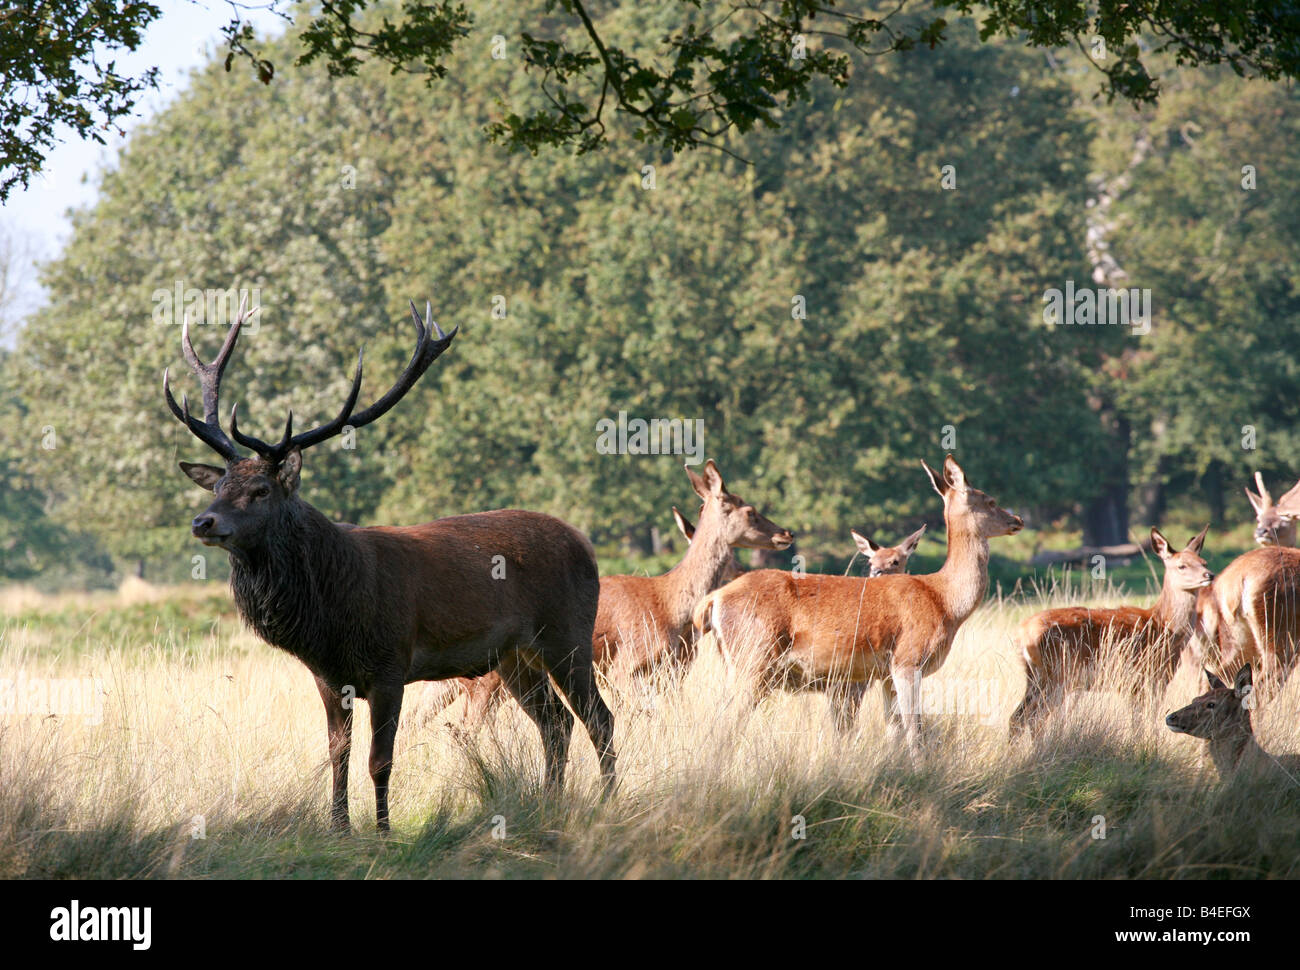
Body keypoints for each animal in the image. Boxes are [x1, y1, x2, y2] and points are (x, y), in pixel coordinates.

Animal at [165, 299, 616, 832]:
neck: (332, 612)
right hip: (513, 658)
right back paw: (552, 802)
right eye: (217, 486)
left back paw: (609, 801)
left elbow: (380, 759)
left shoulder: (390, 664)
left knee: (599, 718)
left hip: (568, 633)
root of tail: (585, 543)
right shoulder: (328, 675)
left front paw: (382, 830)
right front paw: (338, 827)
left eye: (260, 490)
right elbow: (337, 753)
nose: (203, 521)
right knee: (557, 723)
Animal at [698, 456, 1021, 748]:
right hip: (753, 657)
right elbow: (915, 731)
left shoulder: (886, 674)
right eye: (990, 500)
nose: (1016, 520)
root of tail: (714, 599)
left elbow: (894, 731)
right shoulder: (907, 658)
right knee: (724, 723)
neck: (945, 601)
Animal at [1008, 526, 1212, 739]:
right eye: (1182, 566)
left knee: (1018, 717)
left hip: (1036, 677)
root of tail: (1022, 633)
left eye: (1203, 562)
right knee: (1032, 718)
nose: (1209, 575)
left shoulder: (1155, 681)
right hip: (1057, 675)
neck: (1164, 628)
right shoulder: (1140, 678)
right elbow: (1141, 723)